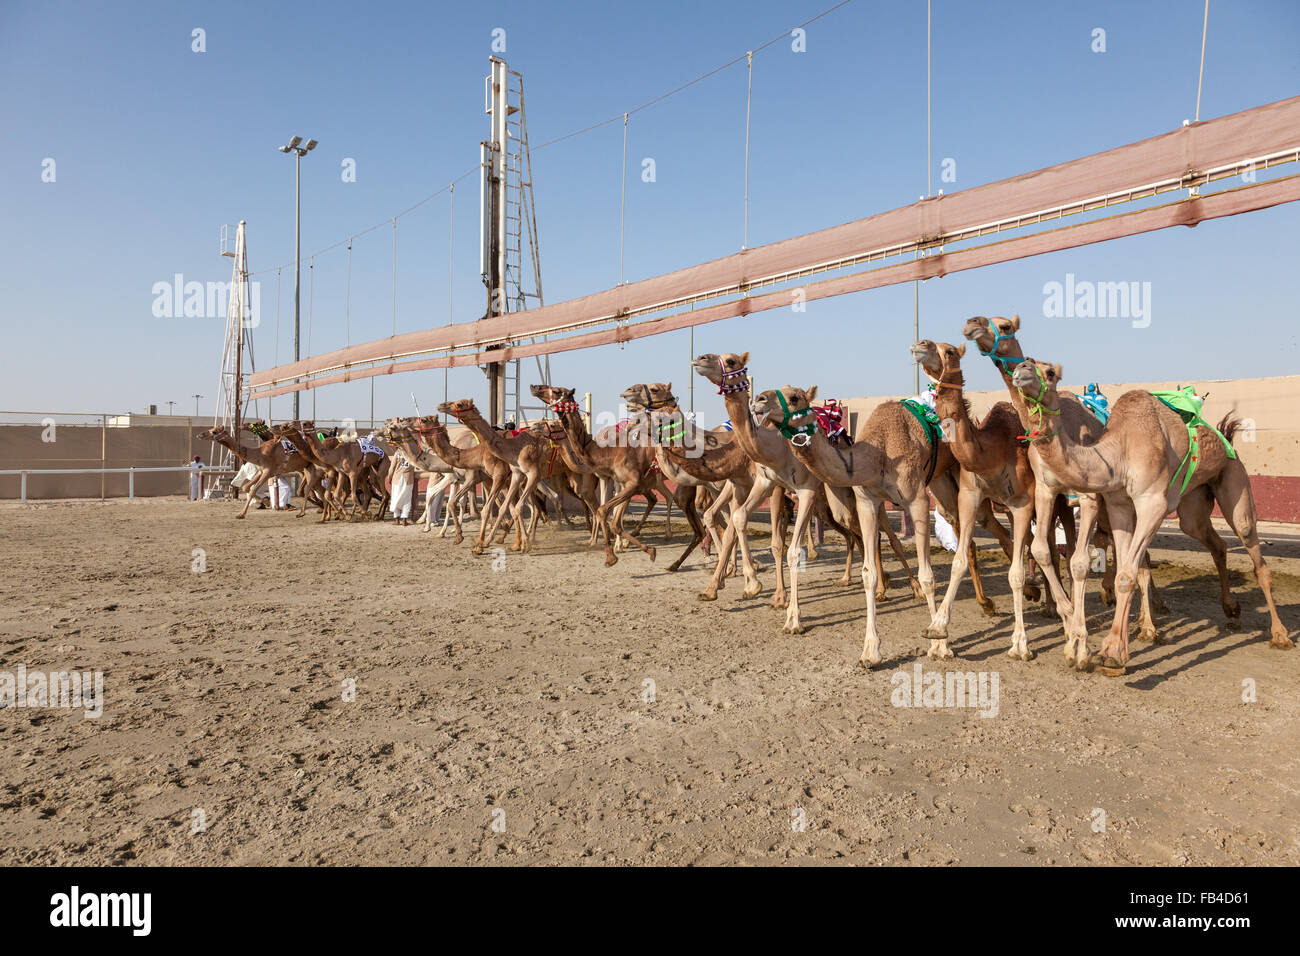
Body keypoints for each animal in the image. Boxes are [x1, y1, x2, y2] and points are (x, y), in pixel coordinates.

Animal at [1011, 357, 1290, 671]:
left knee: (1253, 550)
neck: (1118, 451)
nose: (1020, 370)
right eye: (1024, 363)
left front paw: (1109, 651)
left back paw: (1280, 634)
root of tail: (1224, 435)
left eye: (1050, 372)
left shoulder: (1151, 502)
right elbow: (1123, 572)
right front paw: (1112, 647)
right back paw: (1231, 608)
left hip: (1234, 477)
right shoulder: (1119, 504)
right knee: (1214, 542)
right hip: (1192, 504)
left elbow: (1124, 572)